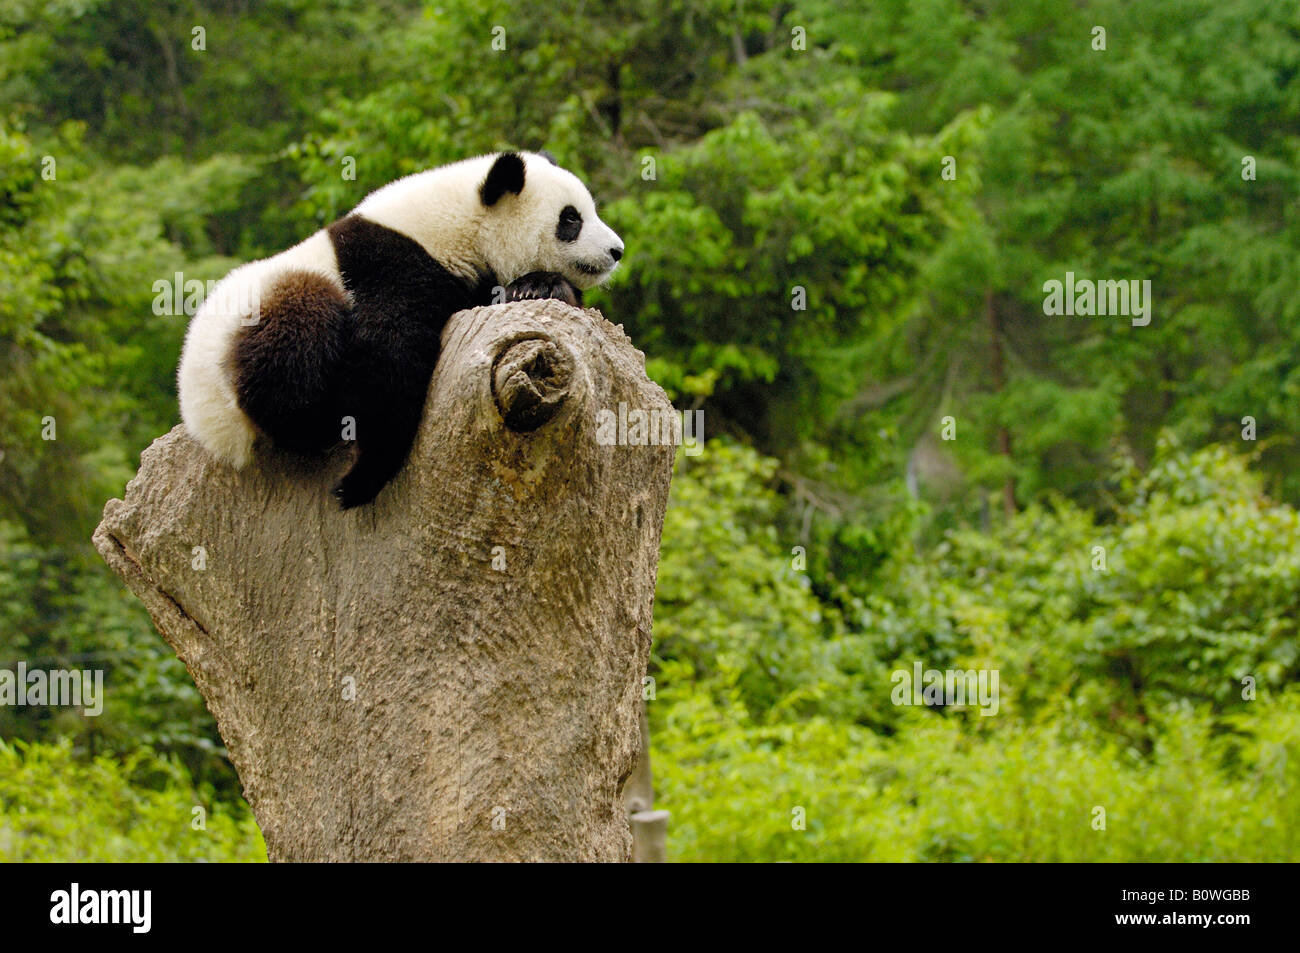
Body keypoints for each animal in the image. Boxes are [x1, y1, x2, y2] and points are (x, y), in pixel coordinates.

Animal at [177, 151, 624, 509]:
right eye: (571, 219)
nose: (617, 250)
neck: (457, 223)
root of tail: (199, 416)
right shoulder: (391, 265)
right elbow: (386, 358)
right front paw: (362, 479)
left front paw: (538, 286)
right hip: (264, 317)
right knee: (294, 357)